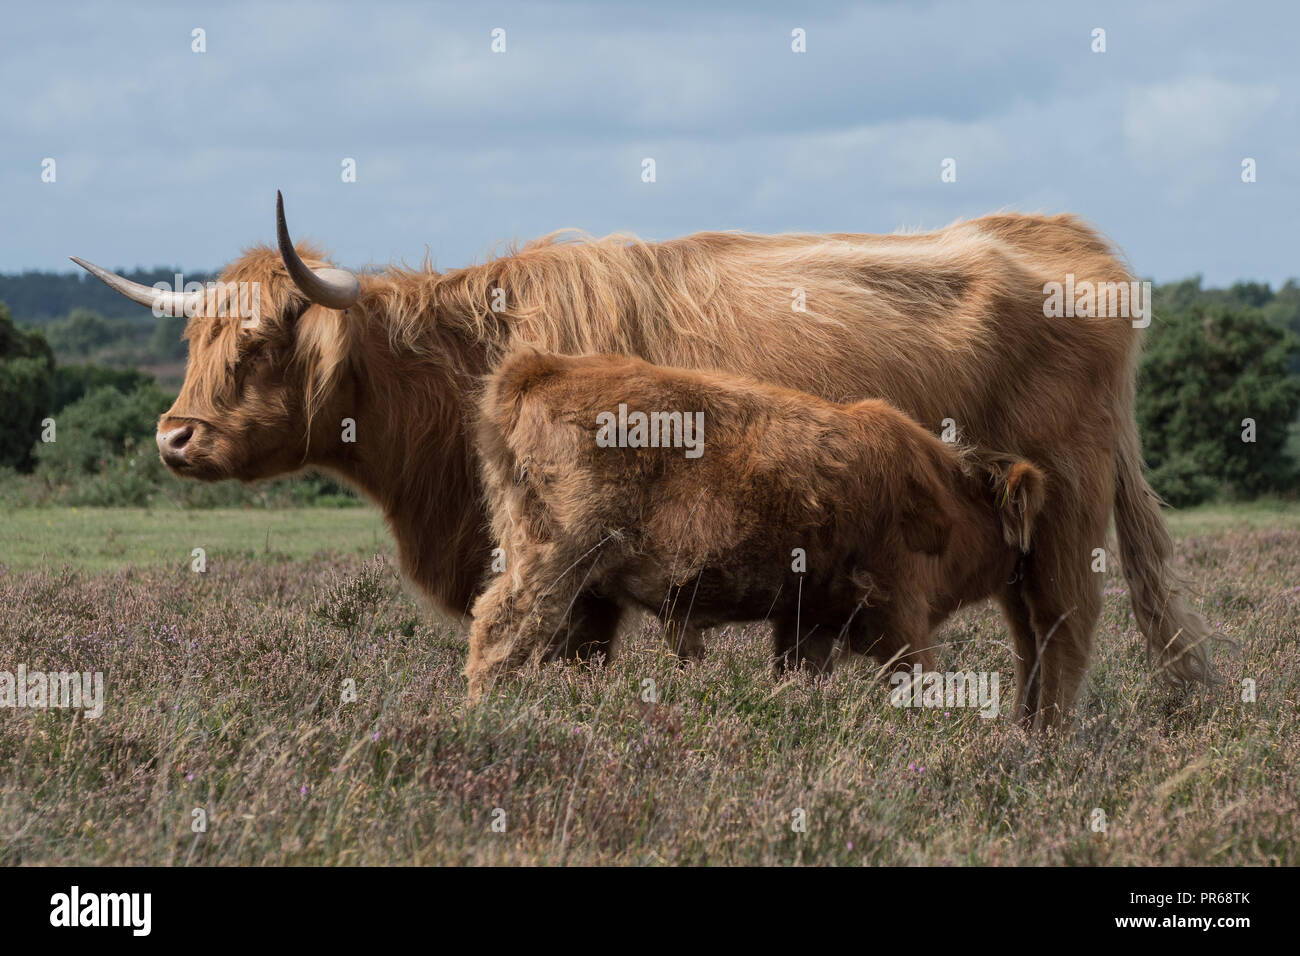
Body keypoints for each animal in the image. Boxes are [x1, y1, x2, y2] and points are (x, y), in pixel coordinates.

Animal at [465, 347, 1049, 700]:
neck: (944, 494)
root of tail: (543, 366)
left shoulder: (809, 620)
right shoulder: (899, 611)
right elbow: (919, 682)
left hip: (591, 595)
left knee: (571, 652)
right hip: (554, 560)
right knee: (499, 627)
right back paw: (486, 709)